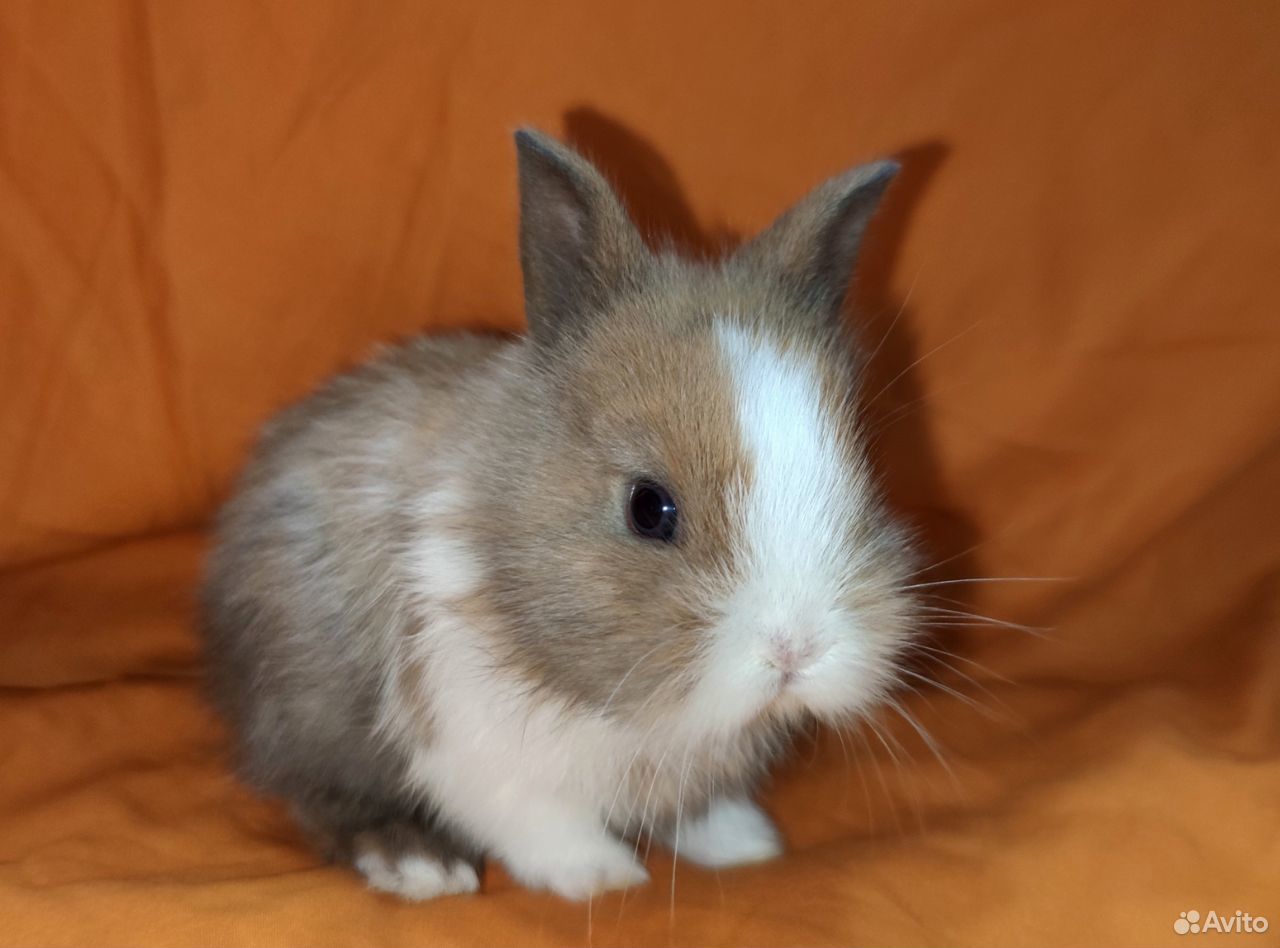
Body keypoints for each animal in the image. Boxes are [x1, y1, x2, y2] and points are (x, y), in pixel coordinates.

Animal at [200, 128, 918, 902]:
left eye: (861, 474)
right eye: (648, 508)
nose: (795, 651)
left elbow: (698, 808)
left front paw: (744, 844)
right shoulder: (469, 736)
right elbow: (537, 821)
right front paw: (604, 877)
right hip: (309, 704)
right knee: (319, 791)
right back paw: (421, 865)